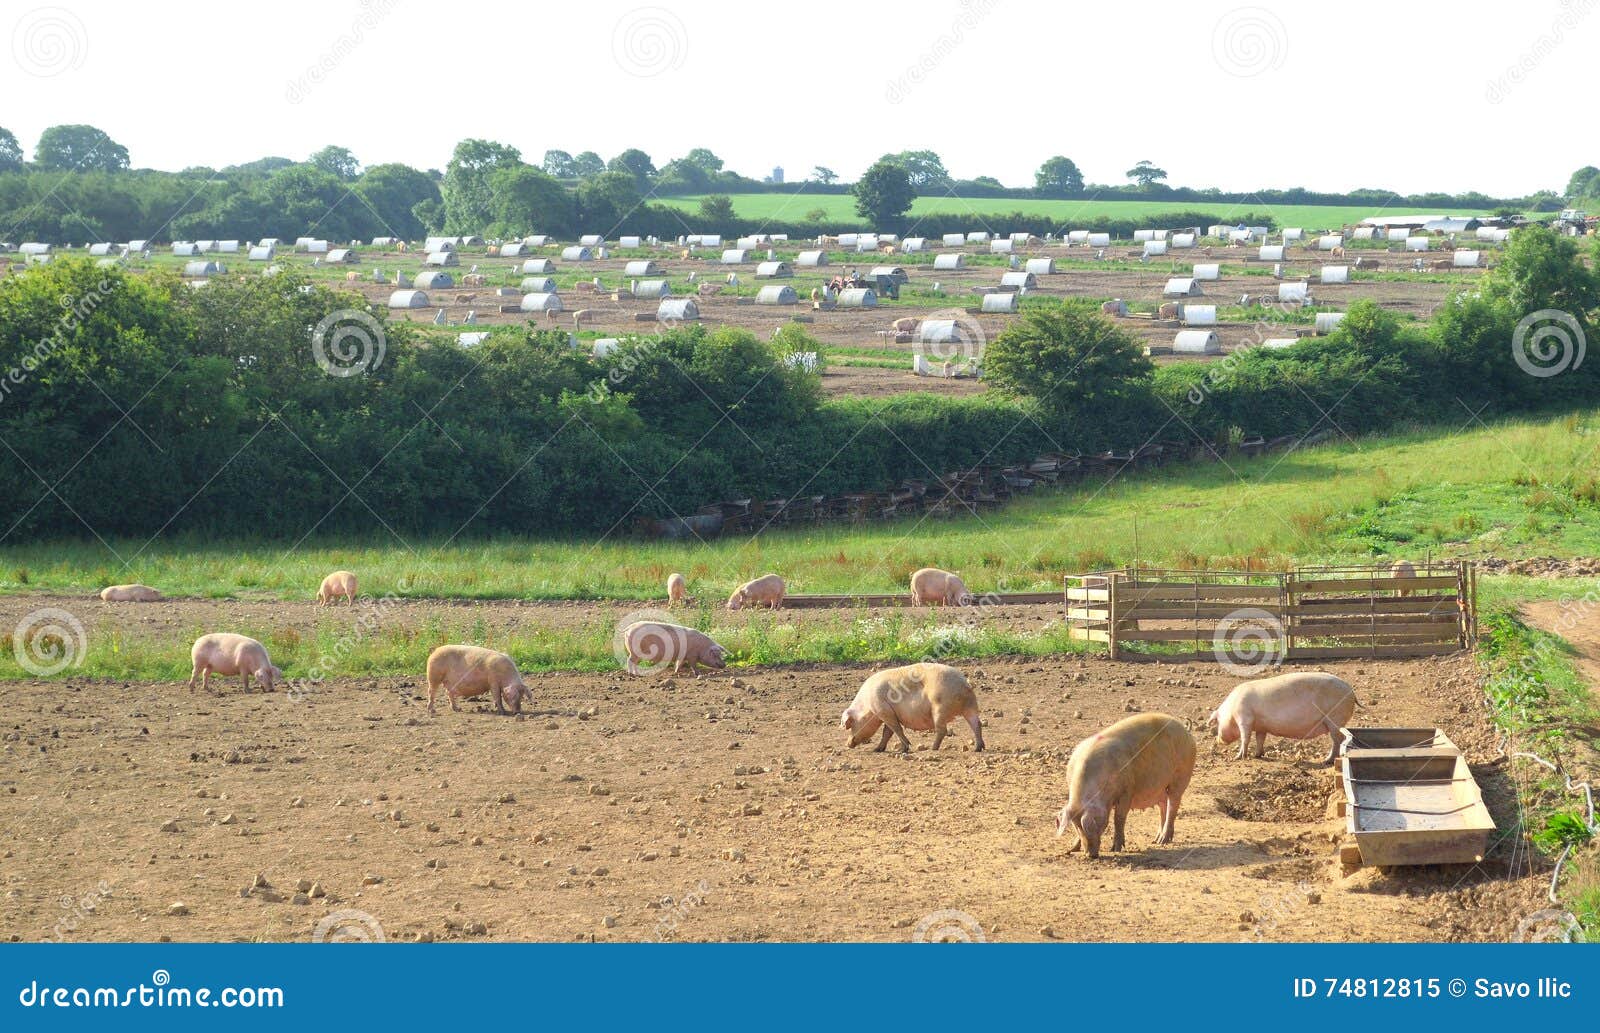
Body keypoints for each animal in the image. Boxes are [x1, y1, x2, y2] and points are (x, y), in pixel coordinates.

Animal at [840, 662, 984, 753]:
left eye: (851, 725)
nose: (847, 744)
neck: (867, 706)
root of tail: (964, 684)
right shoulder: (890, 714)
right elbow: (887, 733)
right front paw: (877, 750)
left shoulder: (883, 710)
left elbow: (896, 730)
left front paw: (905, 748)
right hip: (971, 706)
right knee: (977, 724)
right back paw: (978, 748)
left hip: (939, 707)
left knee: (942, 730)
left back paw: (932, 748)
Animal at [1055, 713, 1195, 858]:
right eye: (1077, 827)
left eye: (1093, 825)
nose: (1090, 855)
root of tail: (1186, 730)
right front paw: (1070, 849)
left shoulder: (1127, 791)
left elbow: (1119, 818)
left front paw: (1115, 849)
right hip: (1161, 788)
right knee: (1163, 806)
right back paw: (1156, 840)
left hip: (1181, 776)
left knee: (1173, 806)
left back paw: (1163, 840)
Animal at [1207, 671, 1357, 764]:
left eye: (1217, 722)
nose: (1218, 740)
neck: (1231, 711)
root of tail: (1351, 692)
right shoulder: (1261, 726)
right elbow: (1260, 738)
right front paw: (1258, 755)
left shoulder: (1245, 718)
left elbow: (1245, 737)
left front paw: (1238, 757)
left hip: (1335, 718)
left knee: (1337, 740)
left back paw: (1327, 760)